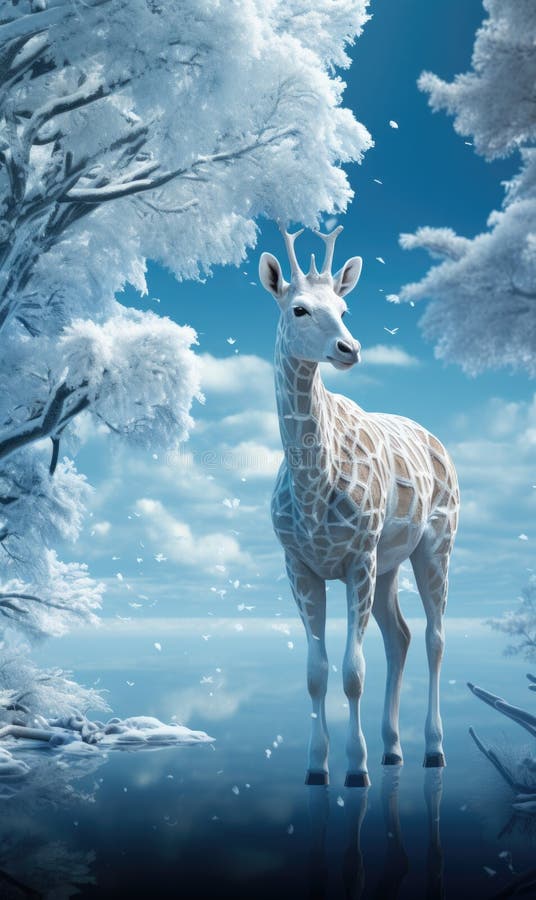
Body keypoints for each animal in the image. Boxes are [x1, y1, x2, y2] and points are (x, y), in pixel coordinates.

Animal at [259, 226, 459, 787]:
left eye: (344, 307)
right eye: (299, 308)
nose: (349, 348)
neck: (312, 487)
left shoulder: (357, 559)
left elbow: (352, 672)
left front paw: (356, 768)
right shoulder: (300, 565)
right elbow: (315, 673)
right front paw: (316, 767)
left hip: (437, 545)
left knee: (434, 636)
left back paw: (433, 749)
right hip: (391, 563)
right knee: (402, 635)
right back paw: (394, 749)